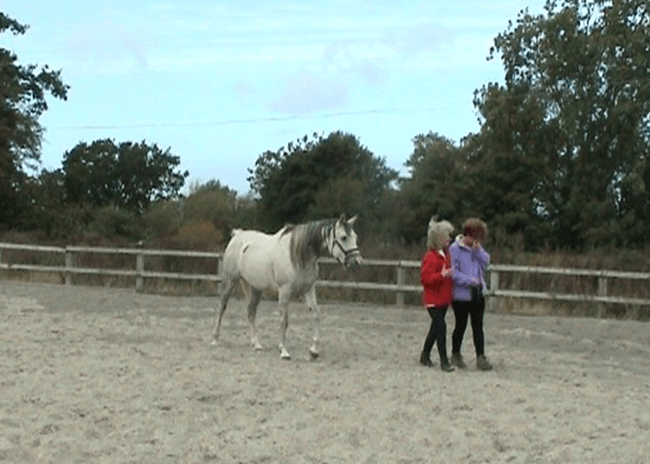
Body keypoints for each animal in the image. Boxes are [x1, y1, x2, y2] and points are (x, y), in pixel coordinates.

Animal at [212, 214, 363, 360]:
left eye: (355, 237)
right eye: (344, 237)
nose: (357, 262)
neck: (297, 255)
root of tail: (237, 235)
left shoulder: (309, 289)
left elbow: (315, 314)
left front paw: (314, 351)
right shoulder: (284, 291)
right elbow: (284, 321)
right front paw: (284, 351)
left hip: (256, 288)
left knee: (250, 311)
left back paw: (257, 344)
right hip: (230, 280)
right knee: (222, 307)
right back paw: (215, 339)